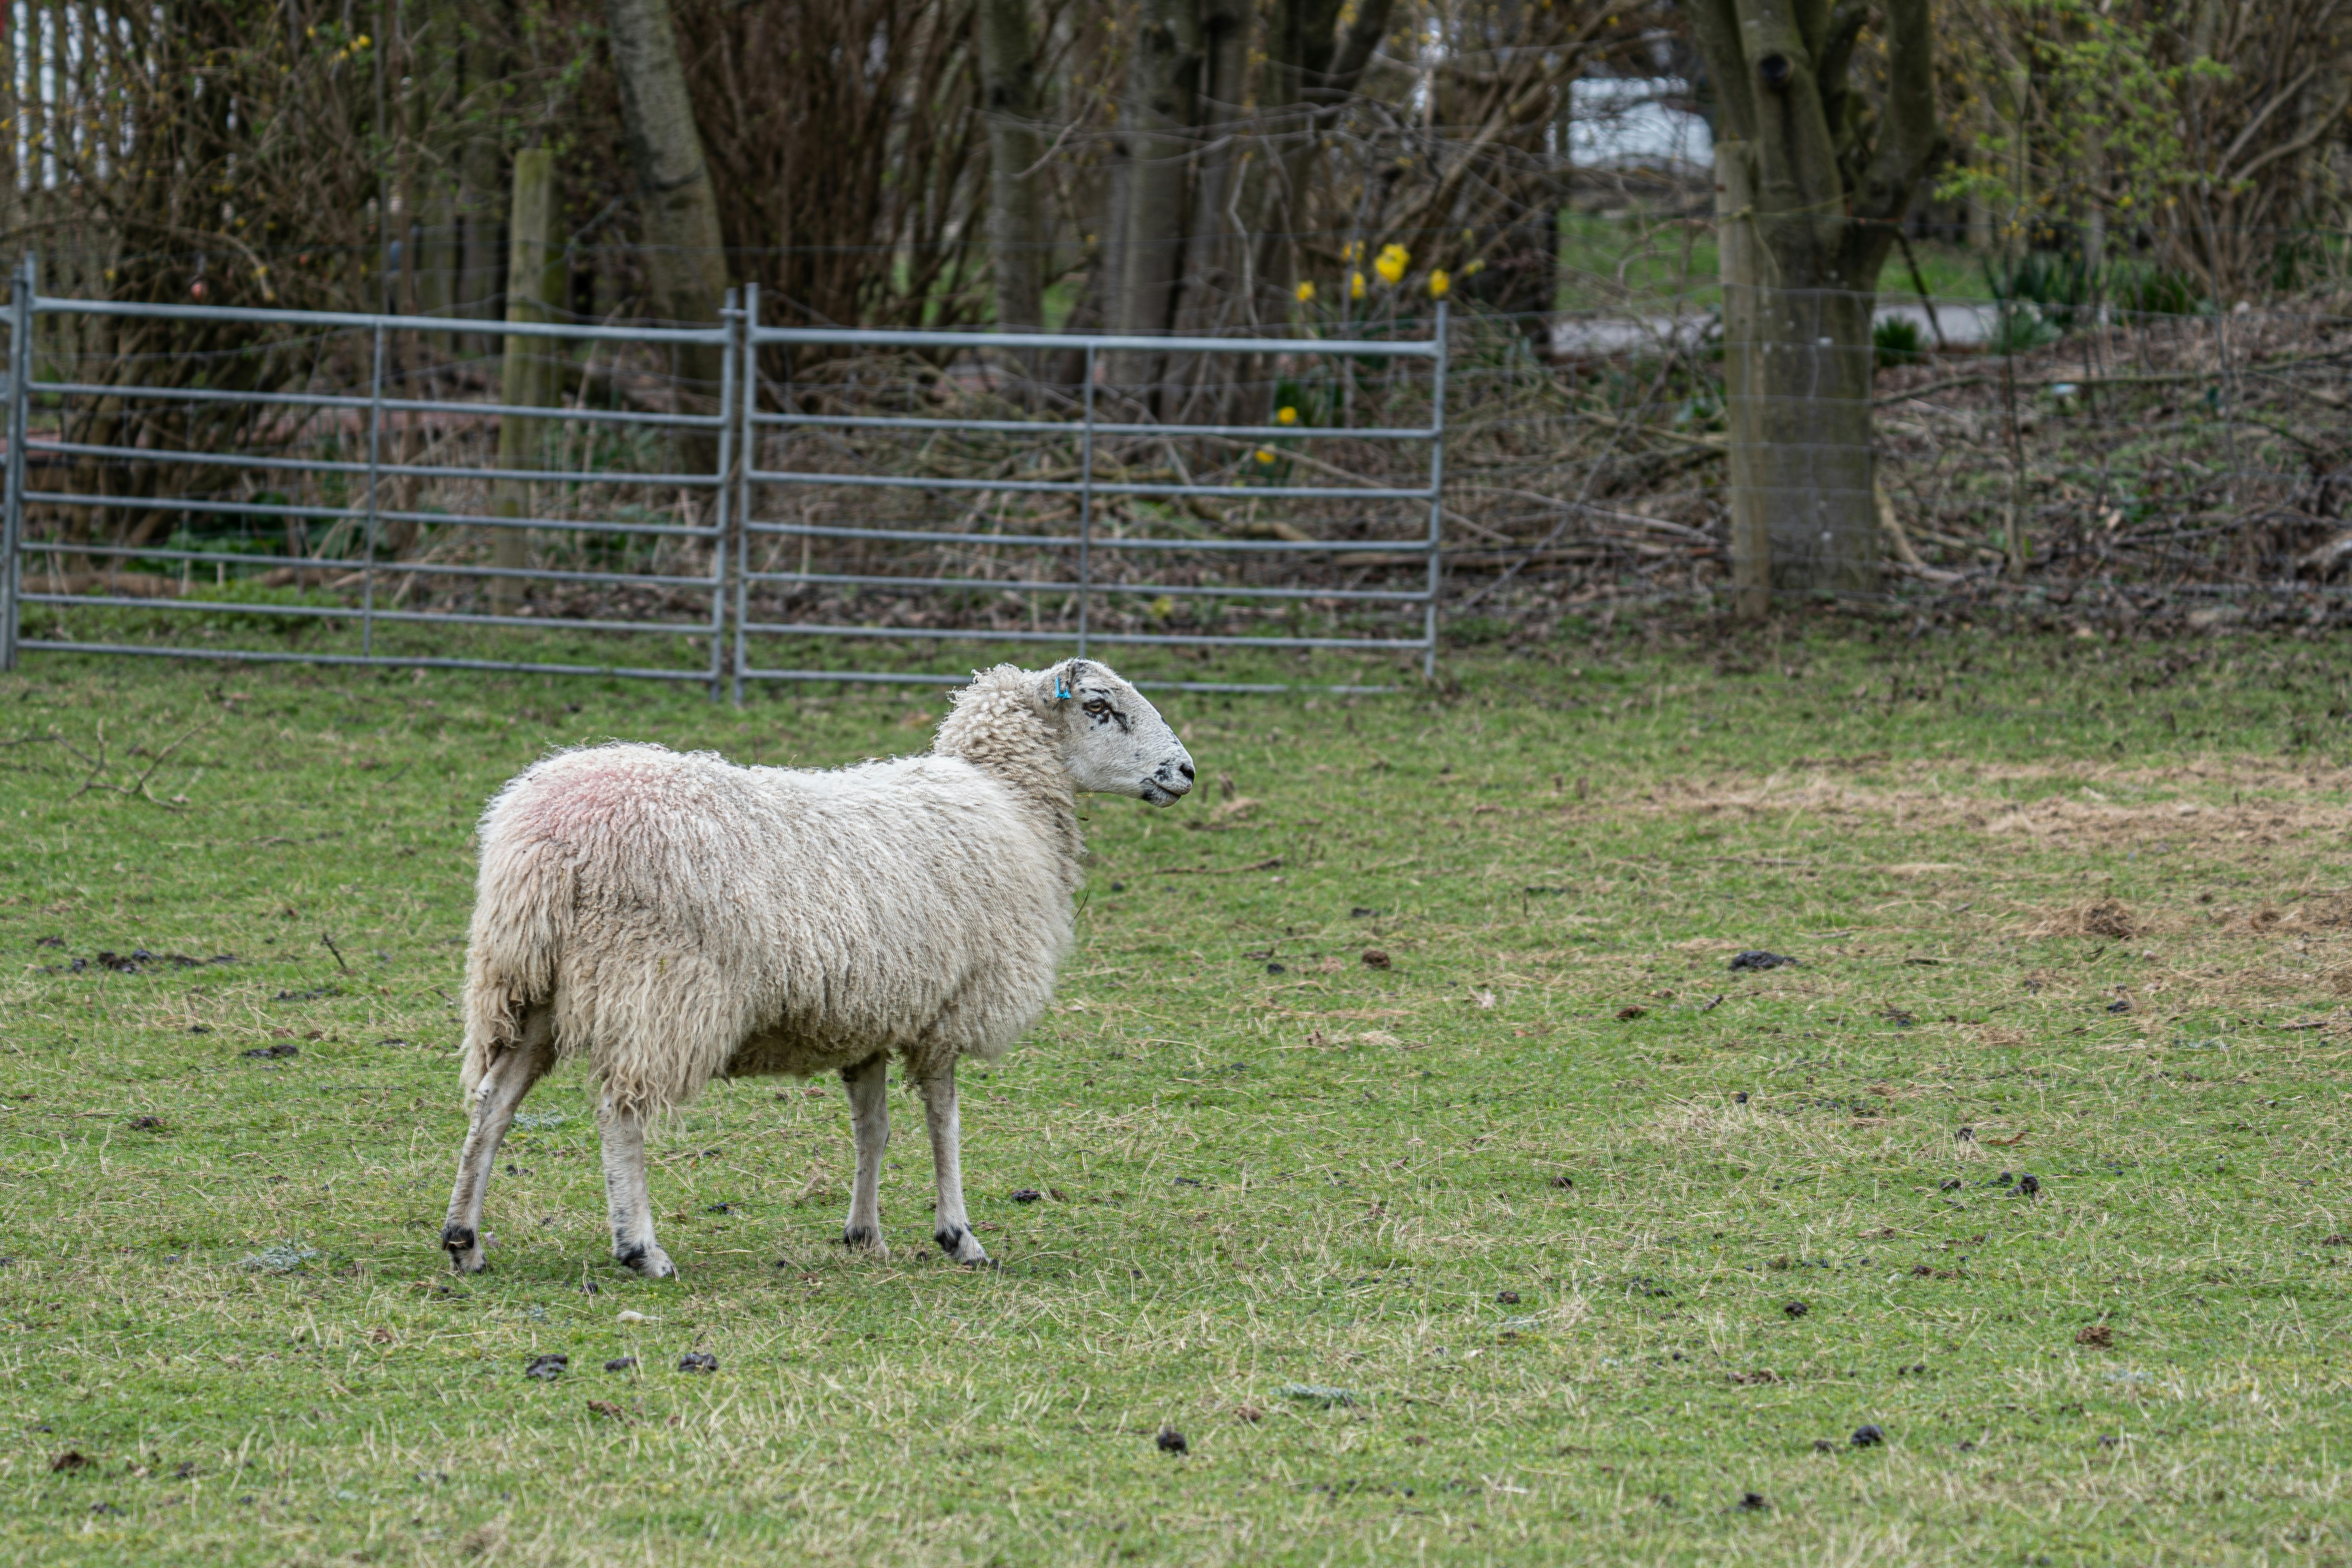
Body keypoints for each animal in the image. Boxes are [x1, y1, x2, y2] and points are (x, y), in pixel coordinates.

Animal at [438, 658, 1195, 1278]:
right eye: (1100, 706)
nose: (1186, 772)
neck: (1009, 801)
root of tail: (542, 837)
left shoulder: (870, 1014)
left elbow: (873, 1127)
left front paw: (865, 1234)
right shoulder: (950, 1006)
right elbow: (944, 1122)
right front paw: (959, 1235)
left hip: (526, 987)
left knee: (494, 1103)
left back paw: (464, 1239)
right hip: (656, 986)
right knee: (620, 1110)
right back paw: (641, 1248)